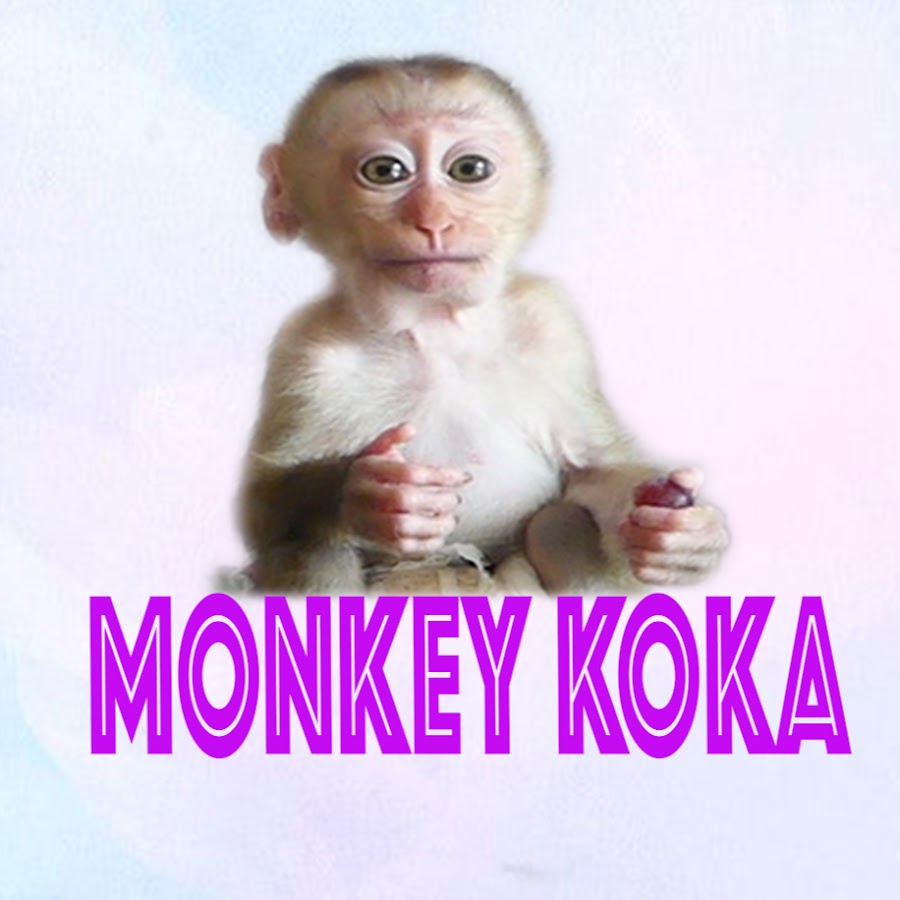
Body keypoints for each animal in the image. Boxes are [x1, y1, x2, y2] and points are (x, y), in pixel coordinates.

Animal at [236, 55, 728, 596]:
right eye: (385, 171)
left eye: (469, 170)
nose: (434, 221)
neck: (435, 331)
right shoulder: (306, 357)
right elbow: (262, 509)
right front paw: (366, 494)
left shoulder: (554, 327)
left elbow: (596, 470)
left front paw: (683, 535)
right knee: (313, 549)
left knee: (557, 523)